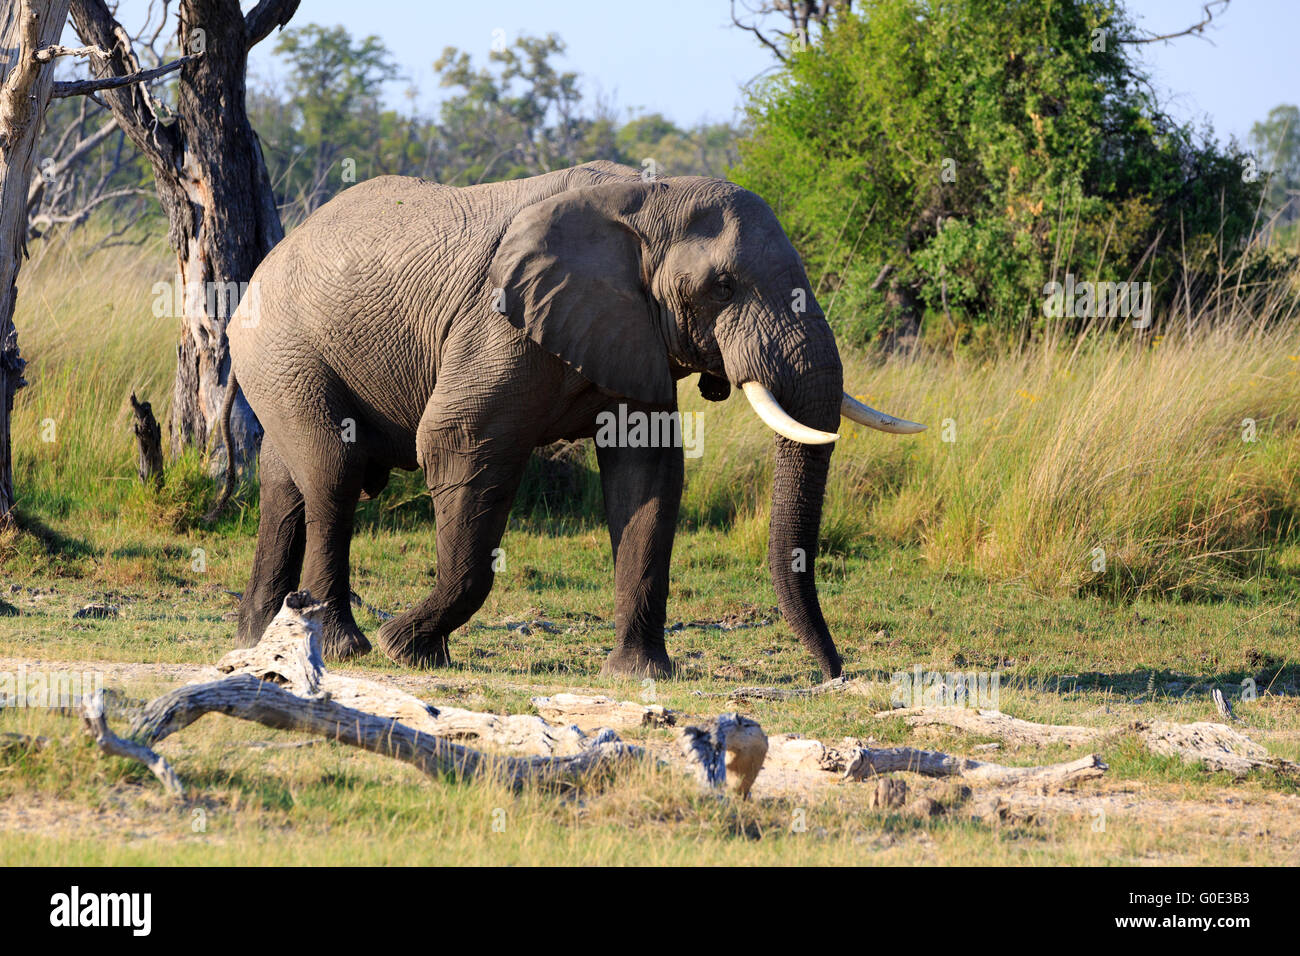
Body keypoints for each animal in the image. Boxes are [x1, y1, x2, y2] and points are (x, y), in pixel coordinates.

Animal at [214, 160, 923, 678]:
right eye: (722, 287)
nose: (836, 673)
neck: (643, 201)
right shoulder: (497, 327)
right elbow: (457, 447)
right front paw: (405, 648)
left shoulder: (634, 334)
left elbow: (647, 477)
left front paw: (641, 675)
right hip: (282, 347)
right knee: (332, 474)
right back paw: (342, 647)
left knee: (285, 484)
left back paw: (260, 637)